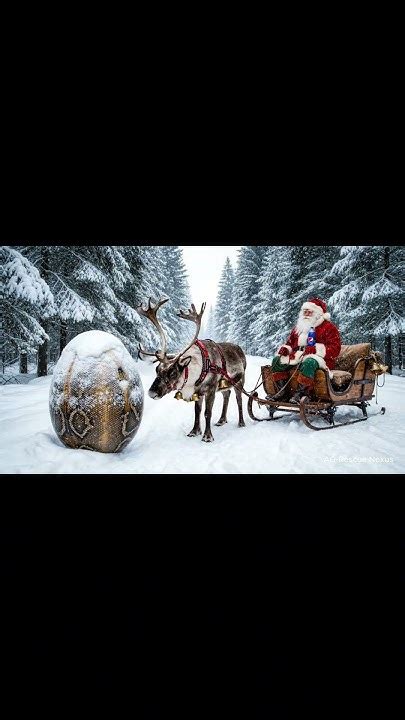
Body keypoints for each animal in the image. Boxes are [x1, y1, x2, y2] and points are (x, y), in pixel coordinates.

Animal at [136, 297, 246, 442]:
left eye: (173, 372)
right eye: (157, 369)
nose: (151, 393)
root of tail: (240, 349)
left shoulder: (211, 389)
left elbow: (207, 412)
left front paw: (207, 436)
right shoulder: (198, 391)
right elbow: (197, 411)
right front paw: (194, 431)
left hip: (239, 381)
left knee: (239, 400)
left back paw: (241, 423)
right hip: (224, 384)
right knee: (226, 394)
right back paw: (222, 420)